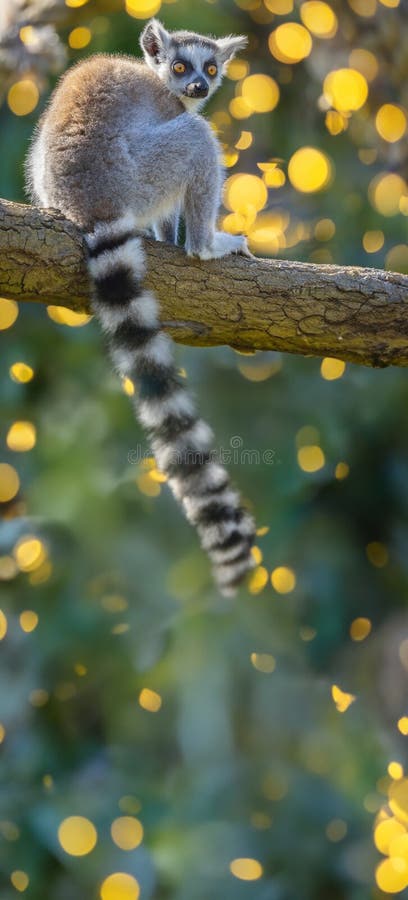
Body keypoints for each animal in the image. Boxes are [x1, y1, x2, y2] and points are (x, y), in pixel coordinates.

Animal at [25, 18, 256, 595]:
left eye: (210, 68)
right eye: (179, 66)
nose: (197, 86)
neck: (162, 82)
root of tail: (90, 197)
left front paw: (163, 240)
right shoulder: (166, 112)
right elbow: (187, 143)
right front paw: (181, 242)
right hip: (141, 170)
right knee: (198, 140)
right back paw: (205, 245)